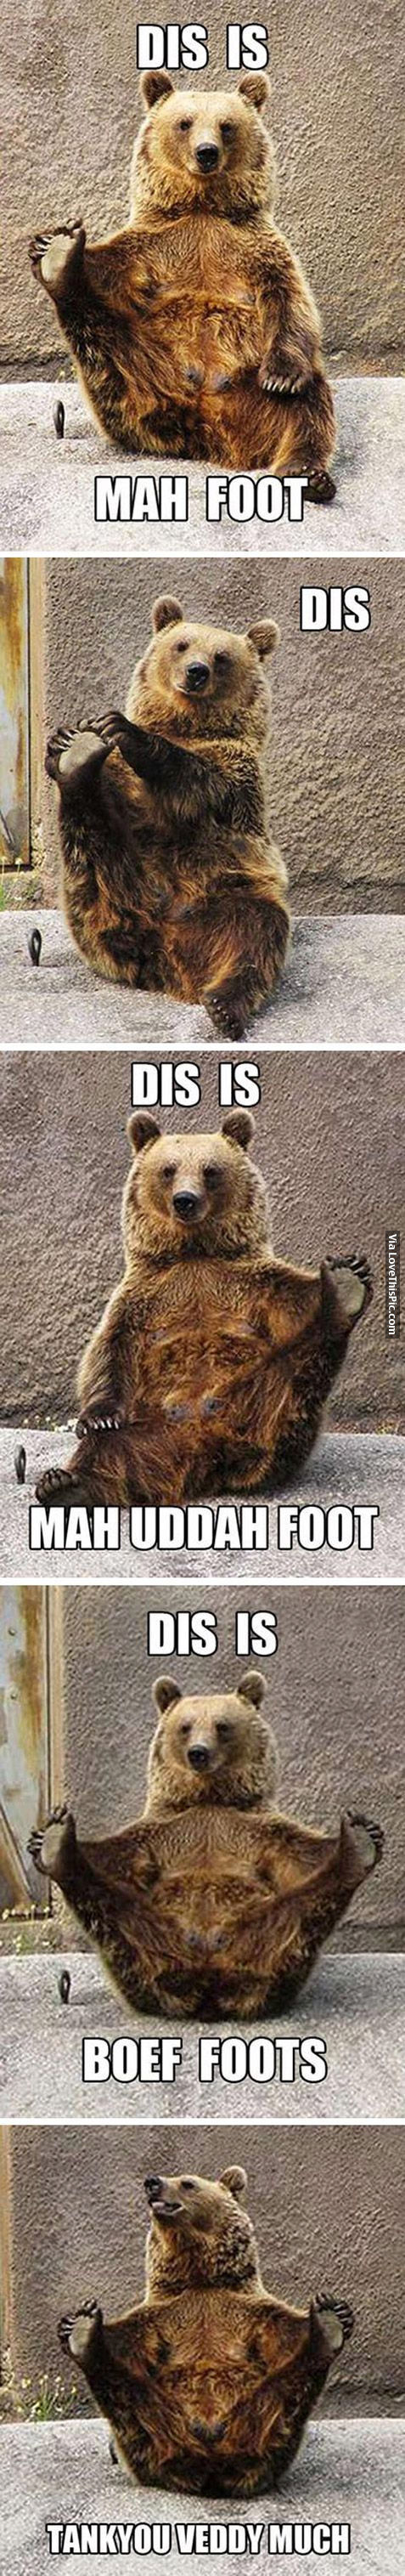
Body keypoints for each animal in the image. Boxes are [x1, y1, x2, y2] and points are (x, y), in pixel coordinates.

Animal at [29, 70, 335, 500]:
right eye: (185, 123)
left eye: (227, 125)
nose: (206, 152)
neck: (202, 207)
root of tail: (208, 432)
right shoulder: (153, 246)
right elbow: (108, 268)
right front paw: (56, 242)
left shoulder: (258, 249)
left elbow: (290, 300)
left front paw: (282, 376)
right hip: (140, 374)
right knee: (100, 341)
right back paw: (59, 266)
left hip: (253, 381)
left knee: (310, 405)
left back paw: (307, 473)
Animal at [29, 1668, 384, 2020]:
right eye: (185, 1726)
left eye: (222, 1726)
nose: (198, 1752)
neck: (209, 1796)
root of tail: (208, 1985)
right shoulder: (163, 1832)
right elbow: (116, 1857)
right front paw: (45, 1834)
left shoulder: (255, 1830)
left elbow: (301, 1855)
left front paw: (366, 1830)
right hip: (147, 1946)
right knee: (112, 1911)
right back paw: (58, 1846)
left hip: (264, 1936)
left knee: (303, 1913)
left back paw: (357, 1849)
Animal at [34, 1107, 373, 1513]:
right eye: (169, 1169)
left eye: (211, 1170)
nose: (185, 1199)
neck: (194, 1251)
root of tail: (207, 1453)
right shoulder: (144, 1297)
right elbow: (109, 1349)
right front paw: (97, 1419)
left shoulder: (249, 1283)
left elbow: (294, 1299)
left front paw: (344, 1273)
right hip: (151, 1430)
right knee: (111, 1452)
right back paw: (64, 1484)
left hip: (261, 1397)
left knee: (298, 1373)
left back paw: (345, 1294)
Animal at [44, 594, 290, 1037]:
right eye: (182, 644)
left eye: (222, 656)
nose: (196, 671)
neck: (185, 724)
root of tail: (165, 948)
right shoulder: (121, 781)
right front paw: (67, 738)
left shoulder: (235, 774)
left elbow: (199, 781)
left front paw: (124, 730)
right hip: (99, 900)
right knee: (89, 845)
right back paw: (77, 763)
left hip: (230, 893)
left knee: (256, 935)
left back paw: (224, 1006)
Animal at [58, 2164, 354, 2495]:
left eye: (188, 2183)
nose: (152, 2183)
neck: (200, 2276)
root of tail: (210, 2466)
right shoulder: (161, 2316)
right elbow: (127, 2341)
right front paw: (75, 2320)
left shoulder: (248, 2311)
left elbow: (284, 2334)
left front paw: (336, 2310)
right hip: (148, 2436)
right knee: (125, 2395)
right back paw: (84, 2334)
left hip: (265, 2425)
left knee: (289, 2395)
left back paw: (327, 2327)